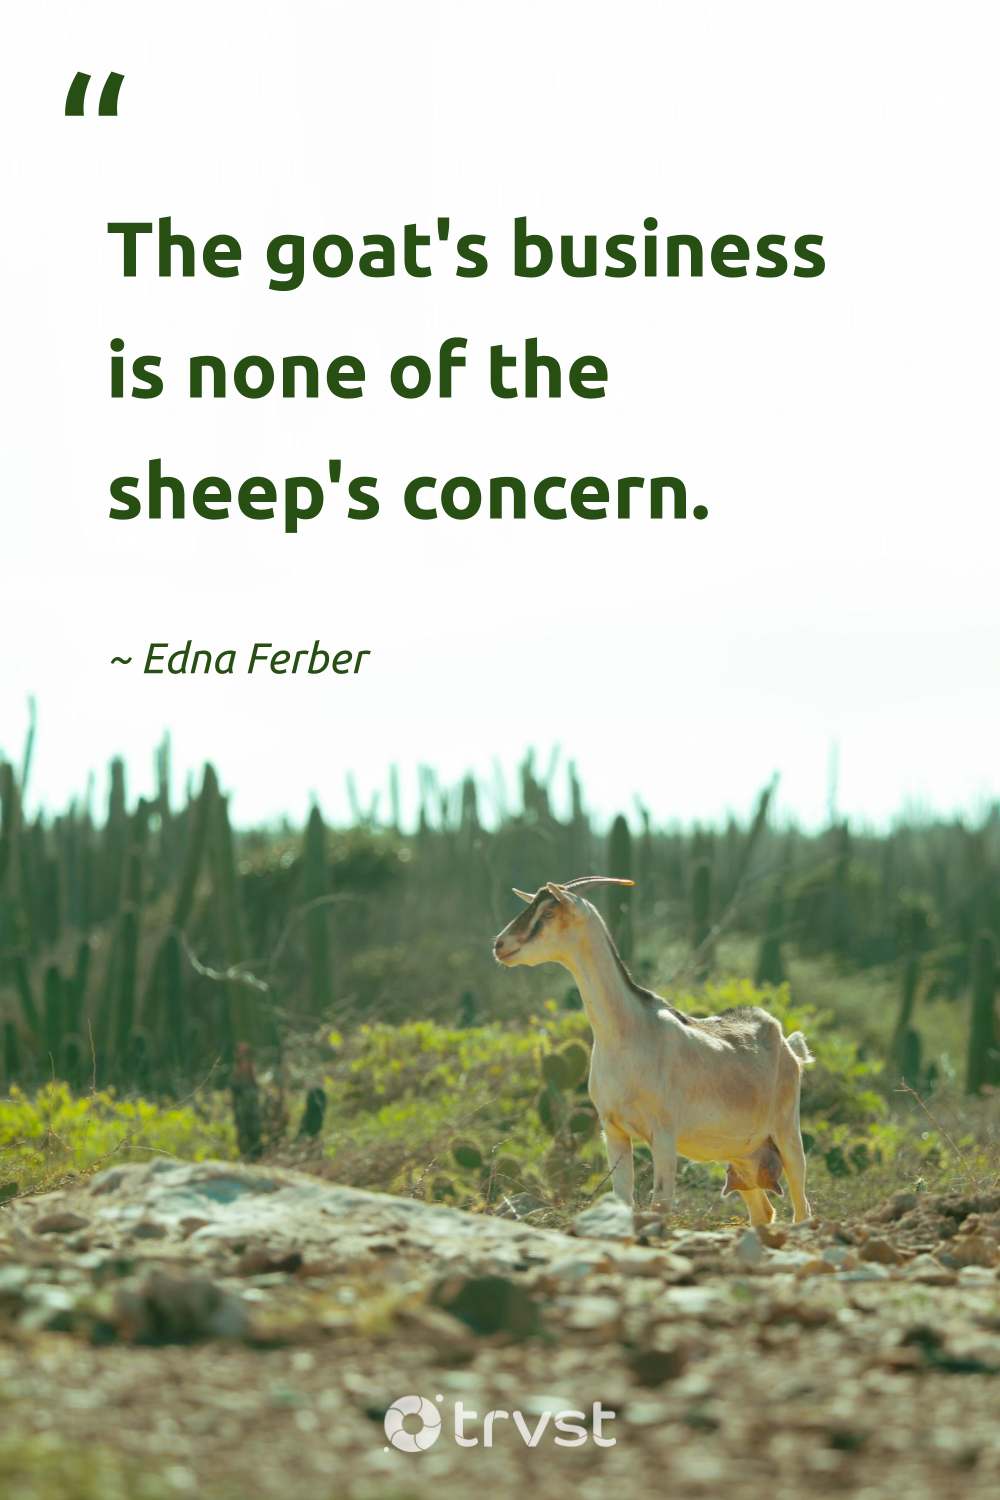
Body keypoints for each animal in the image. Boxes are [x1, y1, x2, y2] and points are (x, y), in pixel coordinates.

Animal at [493, 878, 814, 1225]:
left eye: (549, 912)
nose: (500, 944)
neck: (629, 1035)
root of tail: (791, 1048)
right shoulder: (614, 1130)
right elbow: (623, 1200)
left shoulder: (664, 1134)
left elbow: (661, 1205)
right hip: (743, 1157)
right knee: (763, 1213)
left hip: (788, 1135)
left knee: (802, 1210)